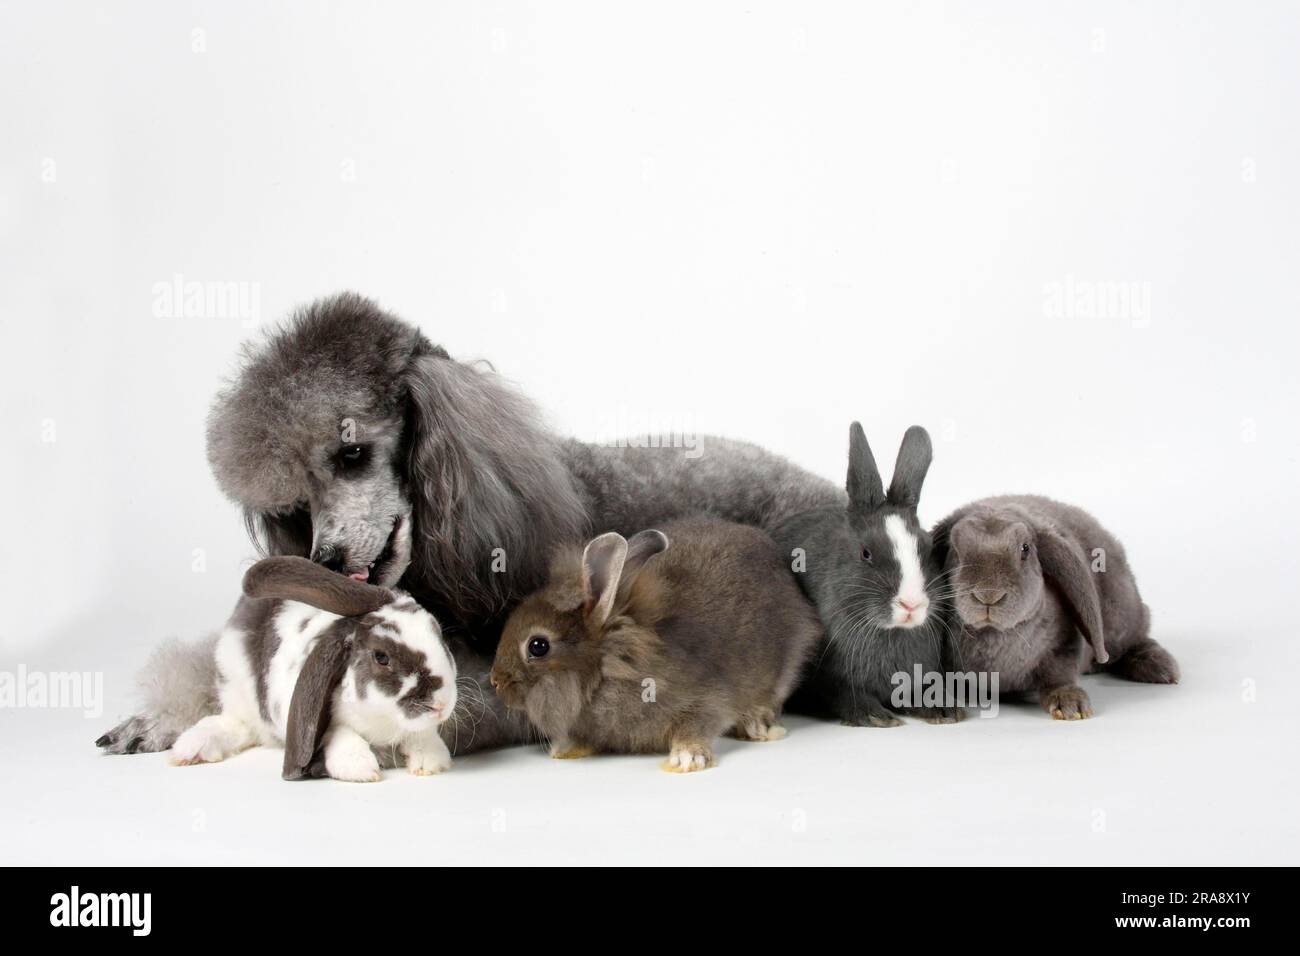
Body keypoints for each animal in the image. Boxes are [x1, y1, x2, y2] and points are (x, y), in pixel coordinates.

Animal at [169, 555, 458, 781]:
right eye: (381, 657)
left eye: (438, 632)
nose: (442, 704)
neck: (383, 720)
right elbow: (340, 734)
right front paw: (361, 769)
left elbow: (423, 735)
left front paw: (430, 761)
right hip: (237, 690)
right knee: (234, 725)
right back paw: (190, 749)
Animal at [488, 515, 823, 773]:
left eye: (538, 646)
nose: (495, 681)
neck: (612, 666)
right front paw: (565, 750)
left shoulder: (706, 700)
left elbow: (698, 725)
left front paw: (687, 759)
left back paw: (757, 725)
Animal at [771, 423, 959, 728]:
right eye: (866, 554)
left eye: (927, 547)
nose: (911, 604)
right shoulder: (831, 679)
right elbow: (844, 694)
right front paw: (876, 716)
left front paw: (944, 710)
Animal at [932, 494, 1179, 720]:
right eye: (955, 550)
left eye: (1025, 549)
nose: (988, 595)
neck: (994, 634)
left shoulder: (1064, 647)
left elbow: (1058, 676)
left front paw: (1071, 705)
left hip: (1123, 615)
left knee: (1138, 637)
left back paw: (1161, 668)